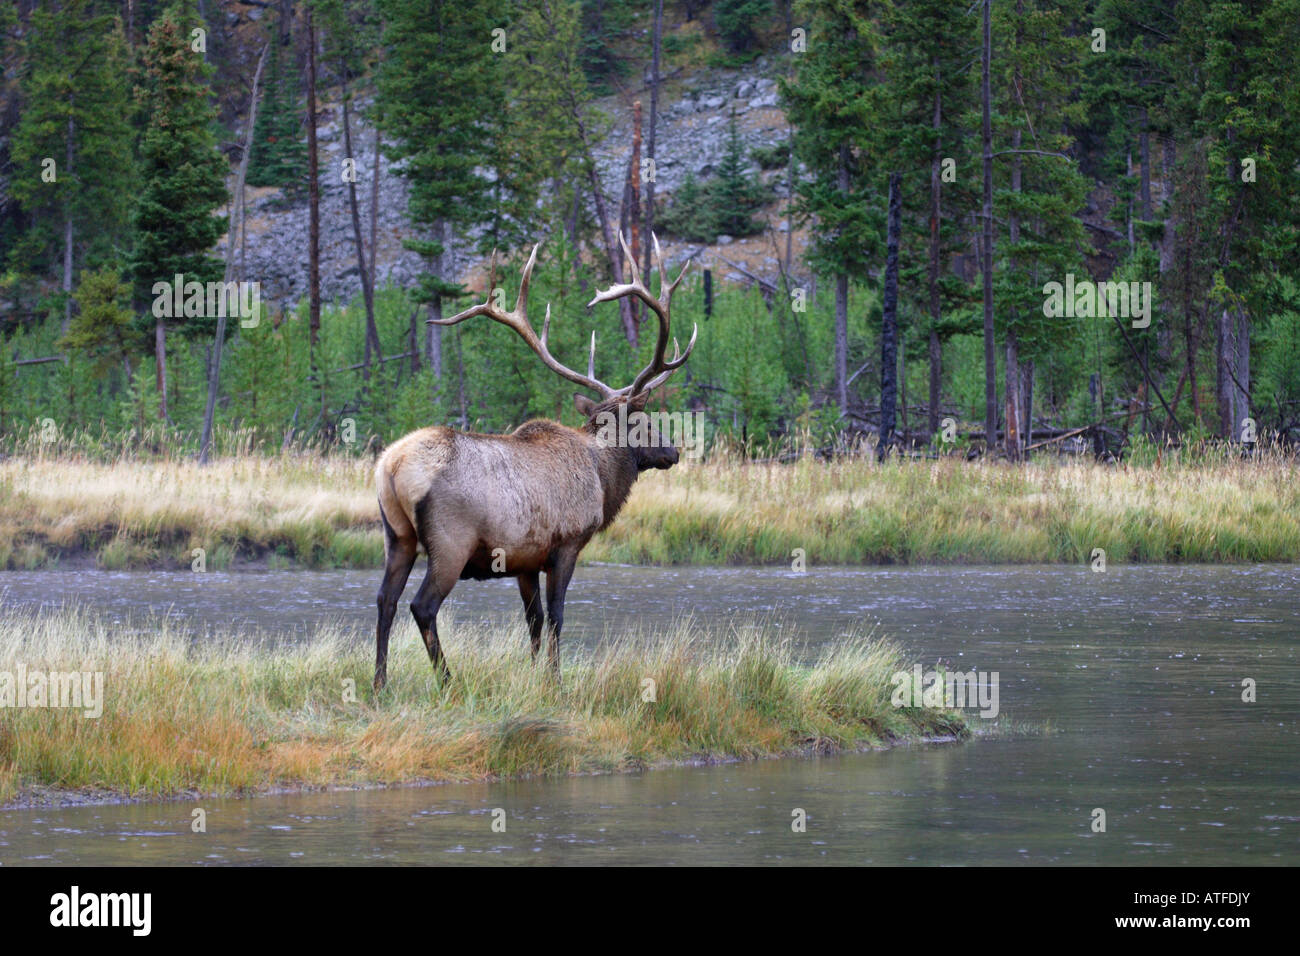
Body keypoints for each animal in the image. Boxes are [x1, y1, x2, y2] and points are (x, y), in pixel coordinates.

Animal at [372, 233, 696, 692]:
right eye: (643, 421)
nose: (673, 451)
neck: (603, 479)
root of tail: (392, 467)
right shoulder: (566, 545)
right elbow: (558, 616)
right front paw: (557, 682)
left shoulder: (524, 560)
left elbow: (534, 620)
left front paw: (534, 675)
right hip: (450, 541)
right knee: (422, 605)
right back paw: (448, 681)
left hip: (396, 535)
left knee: (385, 600)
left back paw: (380, 682)